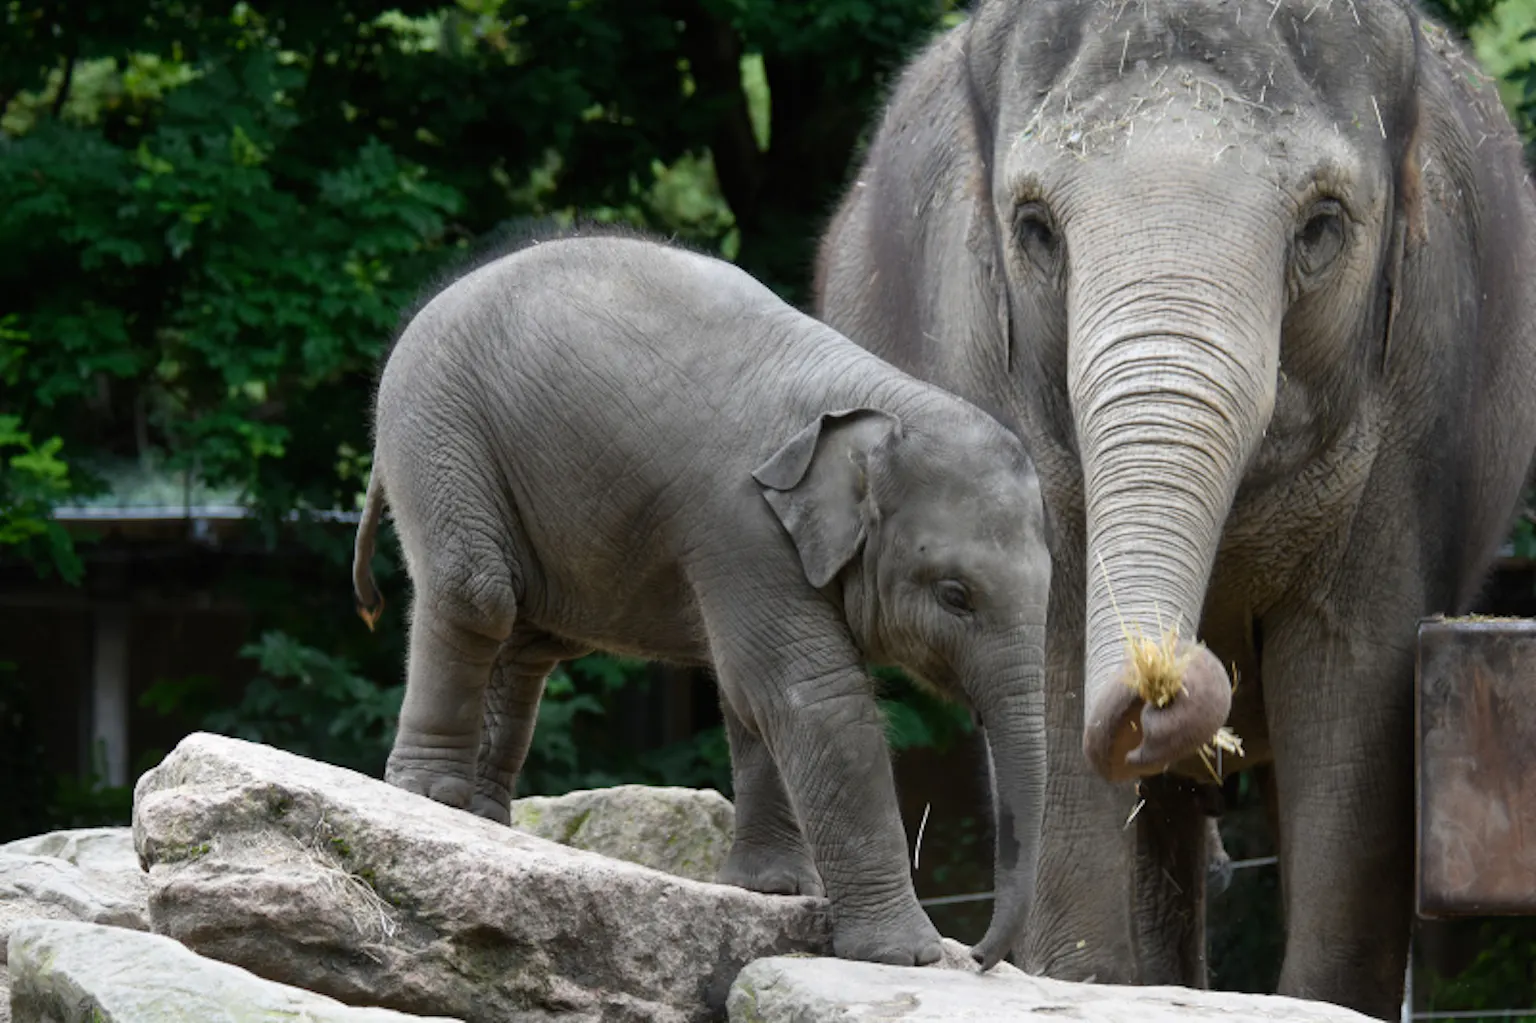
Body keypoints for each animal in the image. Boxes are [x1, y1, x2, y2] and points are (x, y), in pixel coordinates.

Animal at [349, 229, 1053, 968]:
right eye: (956, 594)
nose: (980, 955)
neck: (876, 401)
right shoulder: (741, 524)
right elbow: (806, 691)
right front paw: (905, 957)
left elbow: (750, 696)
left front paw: (775, 890)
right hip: (437, 424)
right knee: (477, 593)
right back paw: (433, 798)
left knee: (528, 642)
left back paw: (481, 816)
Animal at [813, 0, 1536, 1014]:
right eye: (1035, 229)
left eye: (1321, 226)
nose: (1176, 666)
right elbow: (1054, 663)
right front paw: (1082, 976)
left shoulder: (1420, 397)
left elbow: (1352, 687)